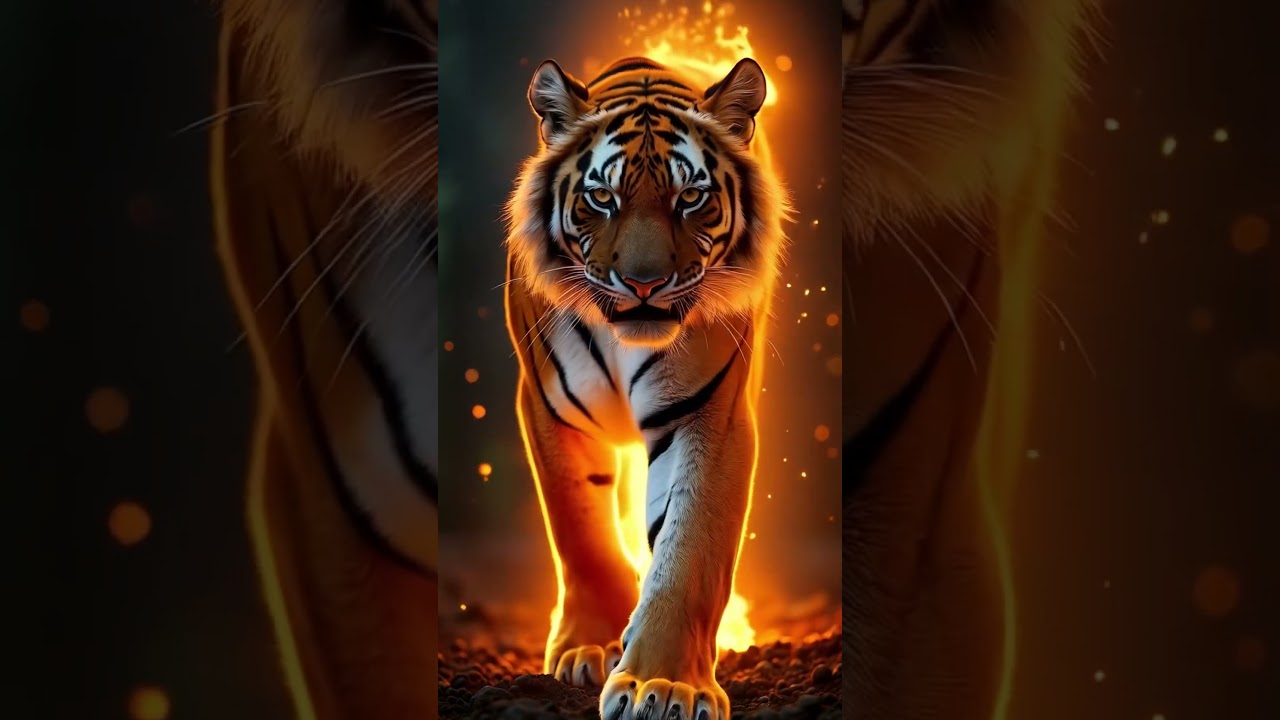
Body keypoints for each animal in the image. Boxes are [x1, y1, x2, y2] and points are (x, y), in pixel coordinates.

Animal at [503, 56, 787, 720]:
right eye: (602, 198)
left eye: (691, 198)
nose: (644, 284)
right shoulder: (549, 408)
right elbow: (580, 530)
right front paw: (591, 646)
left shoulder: (707, 416)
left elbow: (688, 555)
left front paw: (663, 687)